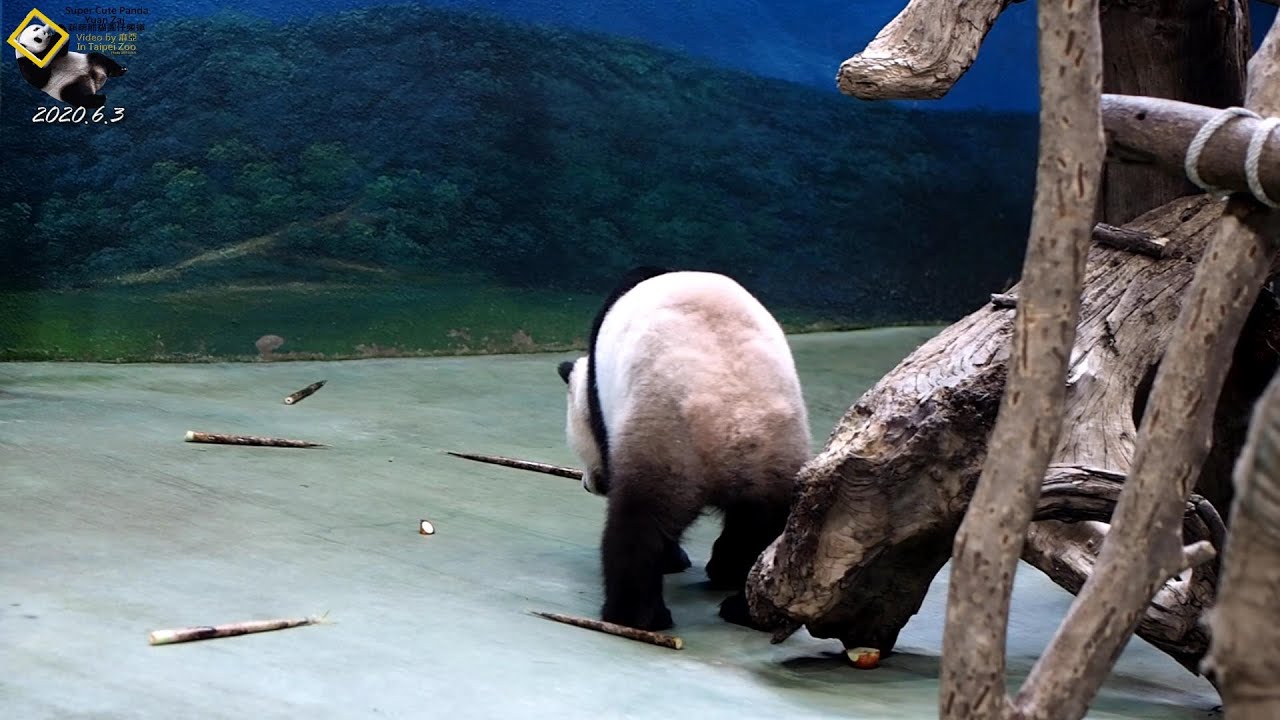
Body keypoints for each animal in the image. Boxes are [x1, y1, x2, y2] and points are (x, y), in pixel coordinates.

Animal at [557, 266, 812, 631]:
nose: (588, 483)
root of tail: (733, 424)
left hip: (665, 444)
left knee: (639, 524)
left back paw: (635, 615)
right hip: (775, 456)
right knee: (765, 531)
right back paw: (742, 603)